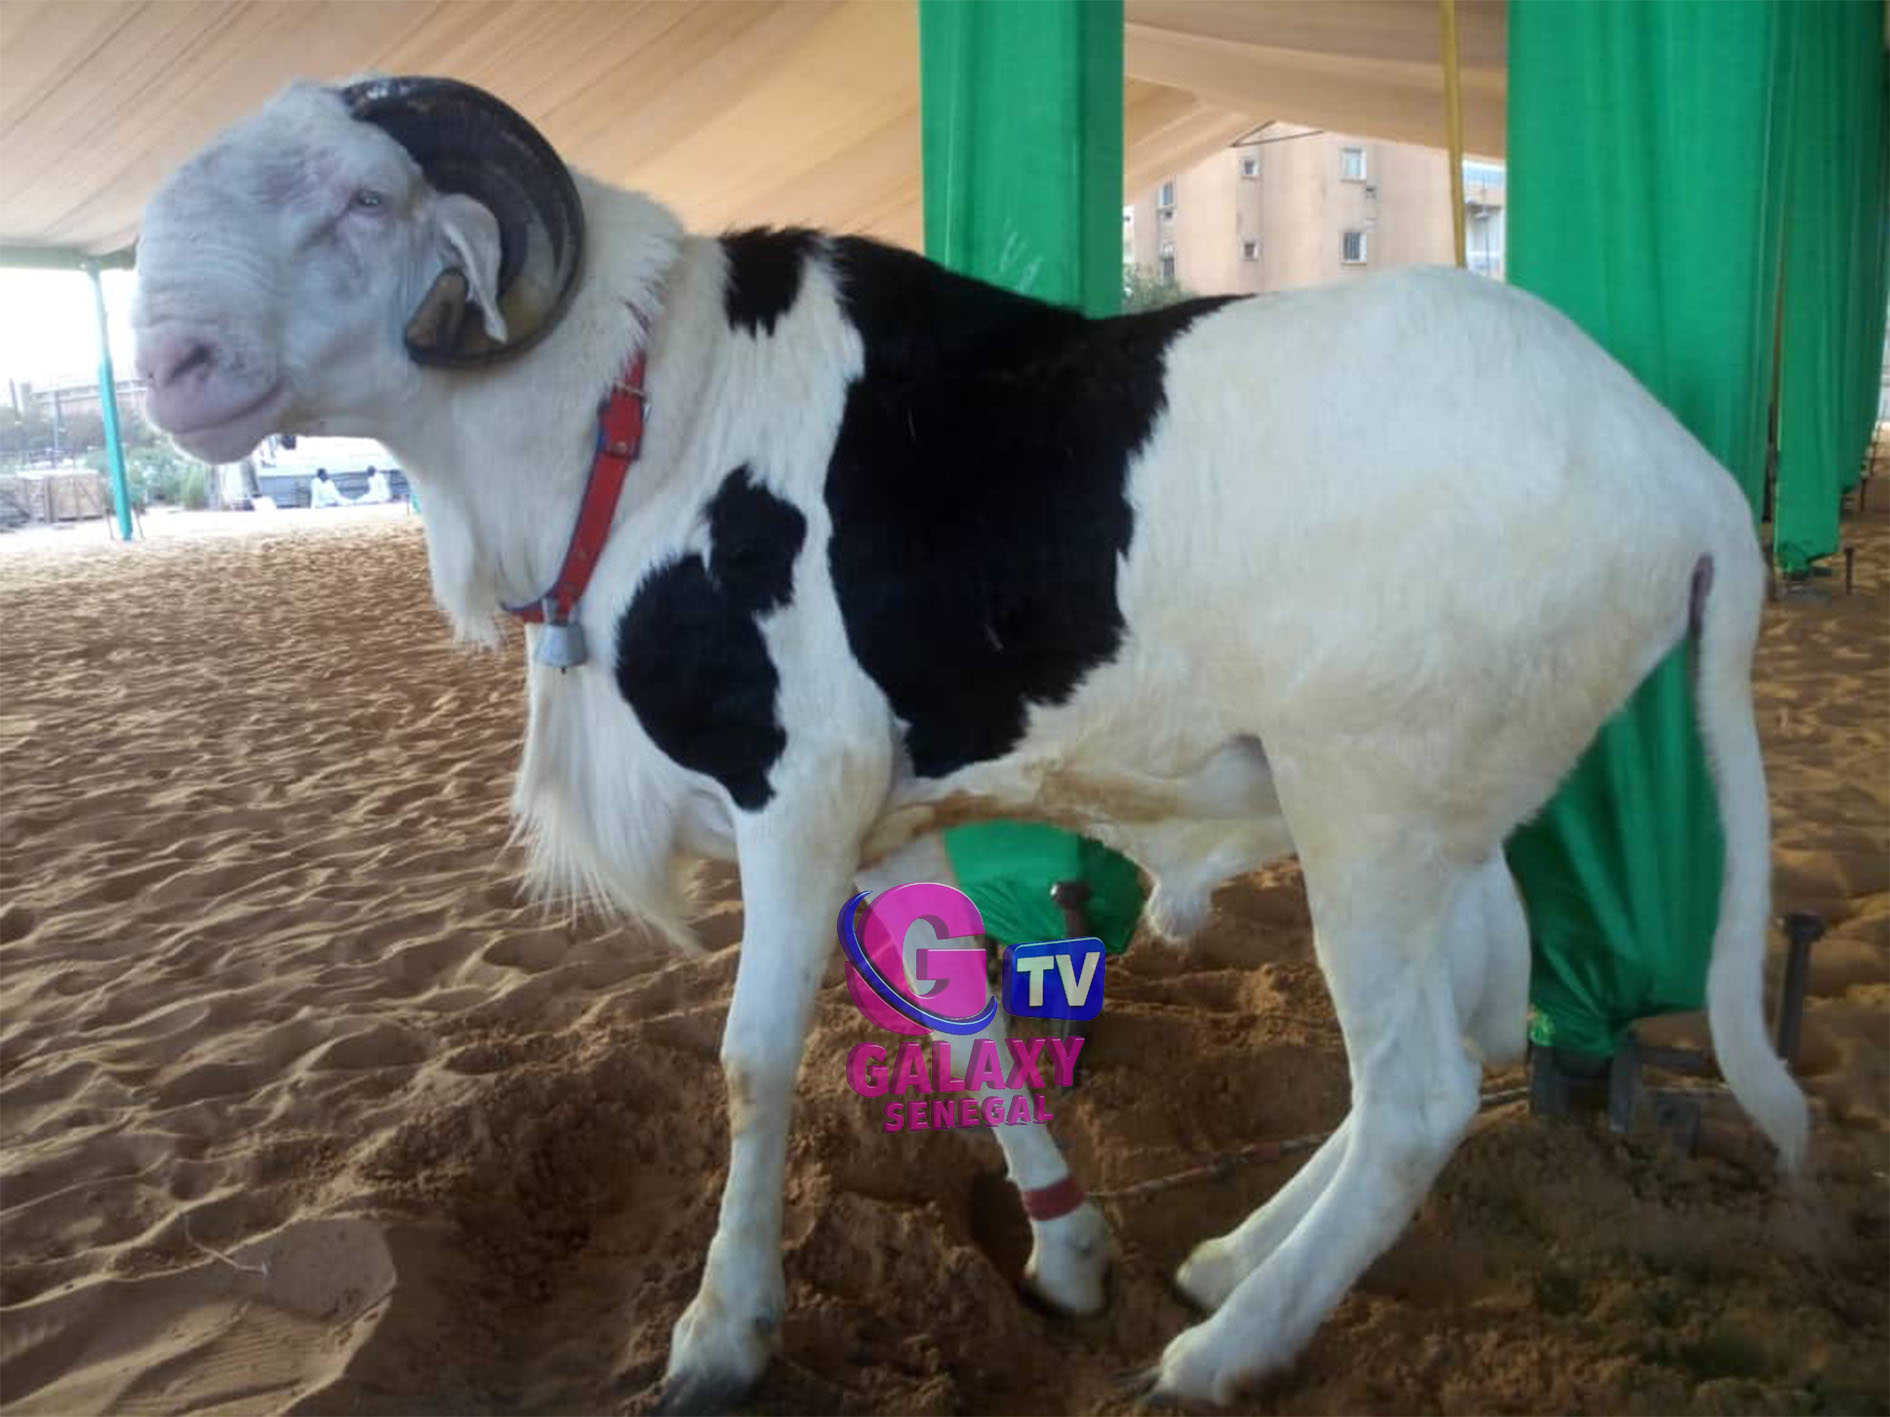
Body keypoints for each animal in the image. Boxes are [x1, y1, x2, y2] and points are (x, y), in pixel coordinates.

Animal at [131, 77, 1807, 1411]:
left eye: (363, 197)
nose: (171, 369)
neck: (648, 416)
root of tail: (1681, 472)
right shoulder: (885, 819)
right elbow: (963, 1014)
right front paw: (1065, 1253)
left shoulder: (792, 794)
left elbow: (752, 1063)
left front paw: (721, 1333)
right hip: (1448, 811)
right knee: (1458, 1037)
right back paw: (1230, 1257)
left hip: (1372, 810)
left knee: (1418, 1096)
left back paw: (1226, 1349)